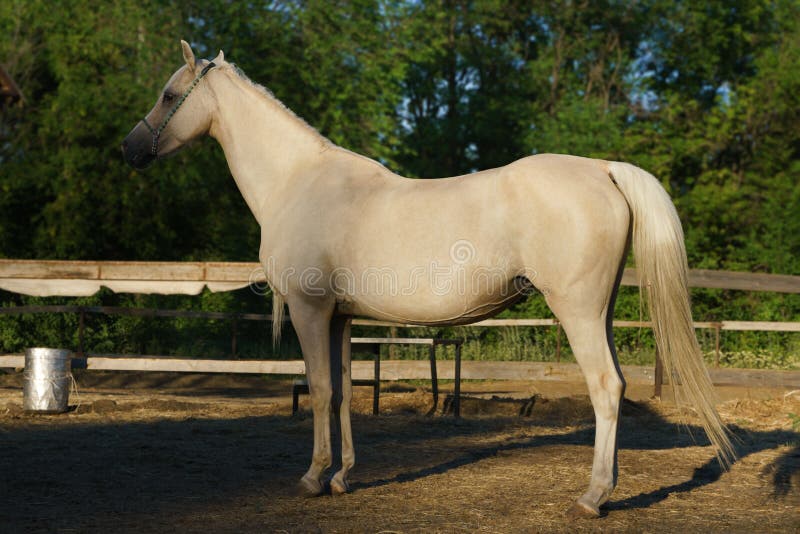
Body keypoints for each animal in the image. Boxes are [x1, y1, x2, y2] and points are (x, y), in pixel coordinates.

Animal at [122, 41, 734, 517]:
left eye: (169, 96)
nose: (130, 149)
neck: (298, 181)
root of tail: (603, 167)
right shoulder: (341, 318)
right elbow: (343, 392)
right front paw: (343, 476)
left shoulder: (309, 310)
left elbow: (319, 391)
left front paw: (313, 478)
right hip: (599, 312)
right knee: (619, 385)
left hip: (577, 311)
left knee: (606, 388)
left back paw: (593, 497)